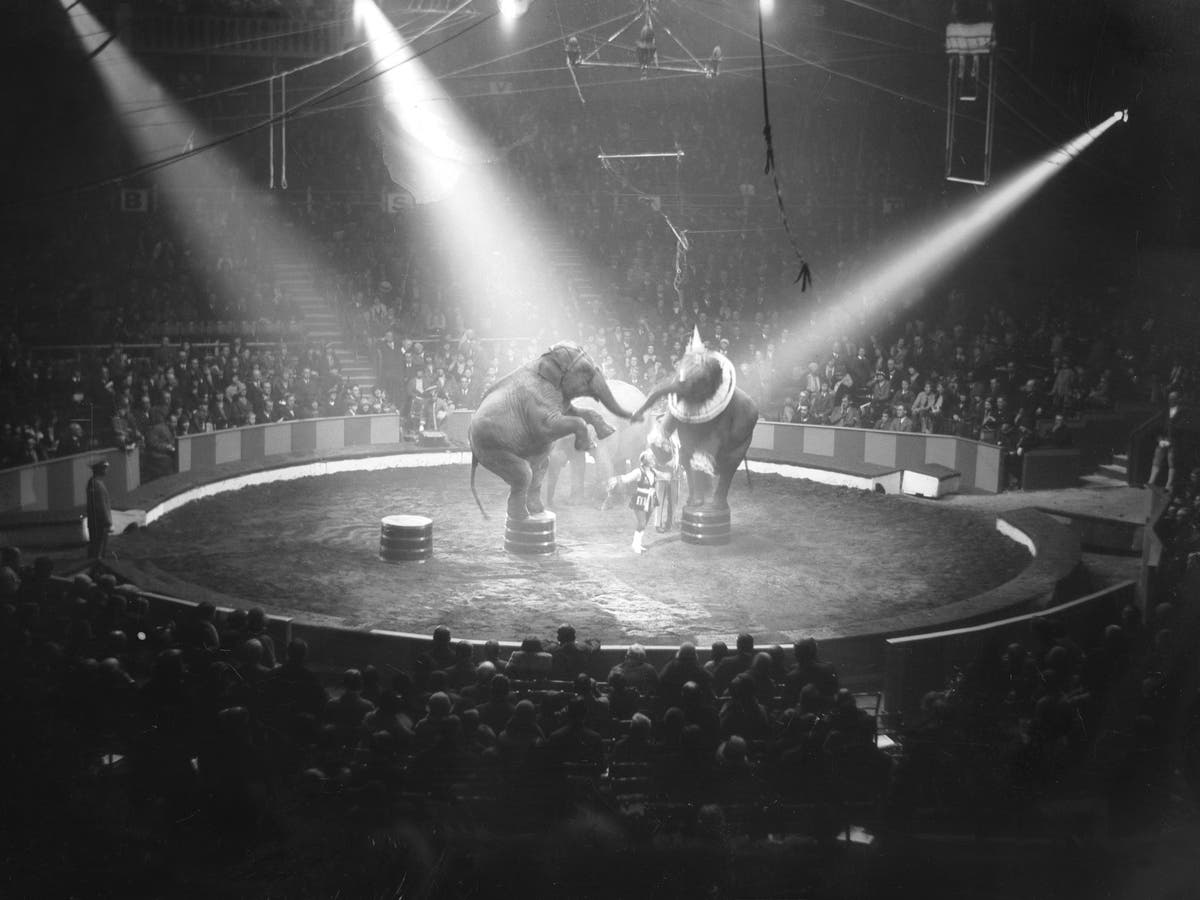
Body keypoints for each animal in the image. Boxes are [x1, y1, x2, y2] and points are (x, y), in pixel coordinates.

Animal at [469, 342, 636, 520]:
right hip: (491, 447)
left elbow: (574, 412)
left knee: (540, 468)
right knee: (524, 474)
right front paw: (588, 445)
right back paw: (523, 516)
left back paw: (537, 511)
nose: (634, 415)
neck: (546, 358)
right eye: (586, 370)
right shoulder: (537, 400)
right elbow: (550, 425)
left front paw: (608, 432)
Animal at [630, 336, 758, 511]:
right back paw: (695, 501)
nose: (634, 416)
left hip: (745, 438)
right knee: (686, 457)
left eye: (702, 381)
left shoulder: (726, 413)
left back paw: (715, 504)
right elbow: (672, 428)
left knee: (729, 465)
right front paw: (661, 451)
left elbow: (710, 442)